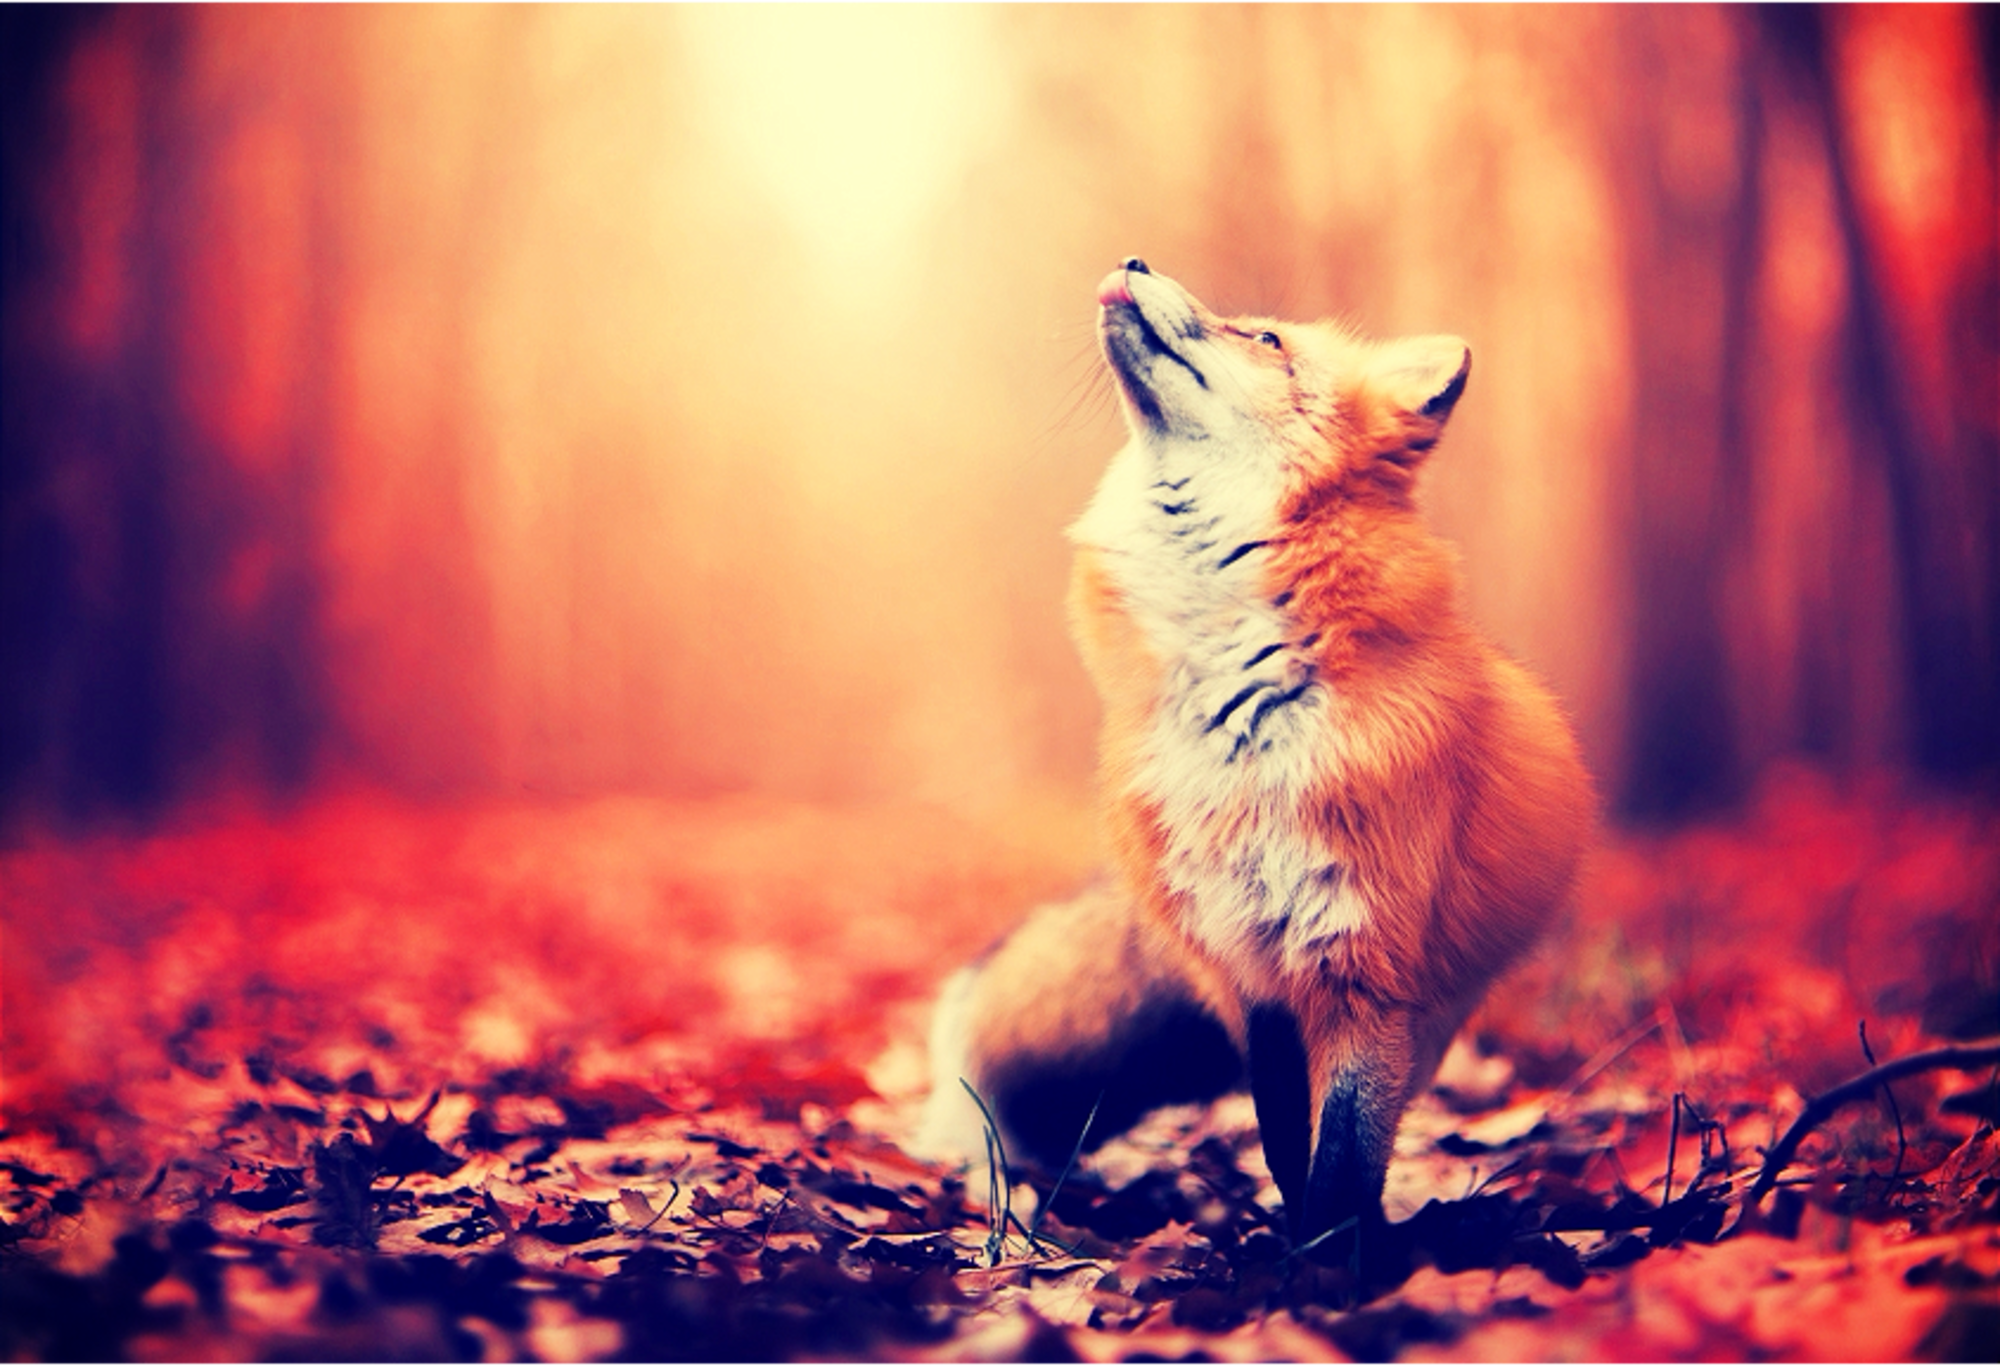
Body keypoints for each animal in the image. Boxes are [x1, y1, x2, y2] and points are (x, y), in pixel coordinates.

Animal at [919, 259, 1594, 1250]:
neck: (1239, 713)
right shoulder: (1251, 971)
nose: (1134, 262)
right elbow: (1285, 1143)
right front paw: (1289, 1252)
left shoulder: (1363, 970)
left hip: (1432, 1014)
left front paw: (1325, 1263)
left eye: (1264, 339)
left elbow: (1342, 1163)